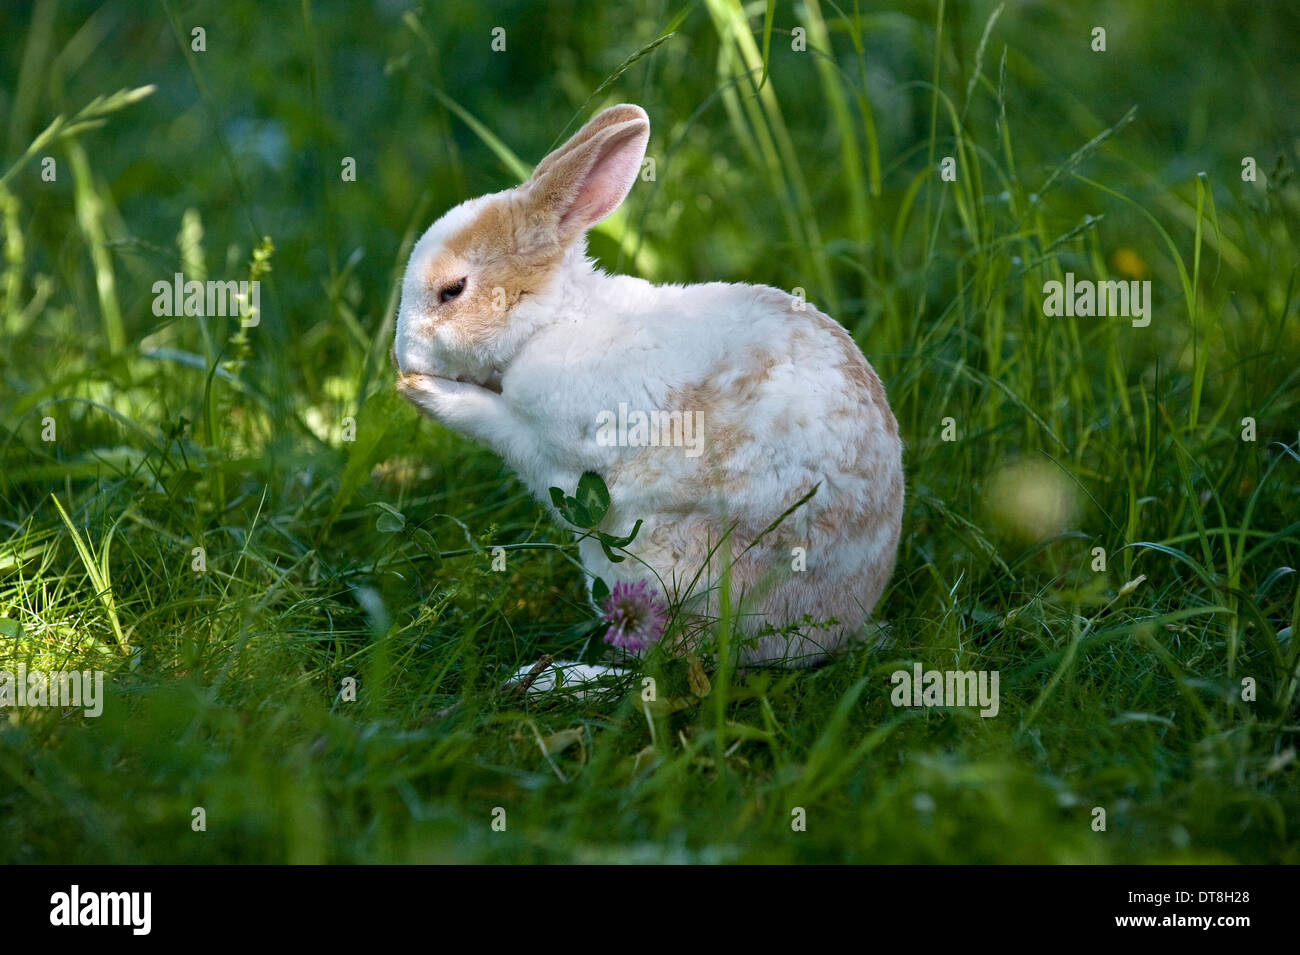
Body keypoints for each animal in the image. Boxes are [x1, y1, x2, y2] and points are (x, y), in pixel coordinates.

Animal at [394, 104, 904, 688]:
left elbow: (493, 421)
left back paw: (548, 677)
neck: (553, 320)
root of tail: (834, 628)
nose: (403, 358)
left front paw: (425, 392)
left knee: (664, 666)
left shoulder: (555, 445)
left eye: (452, 290)